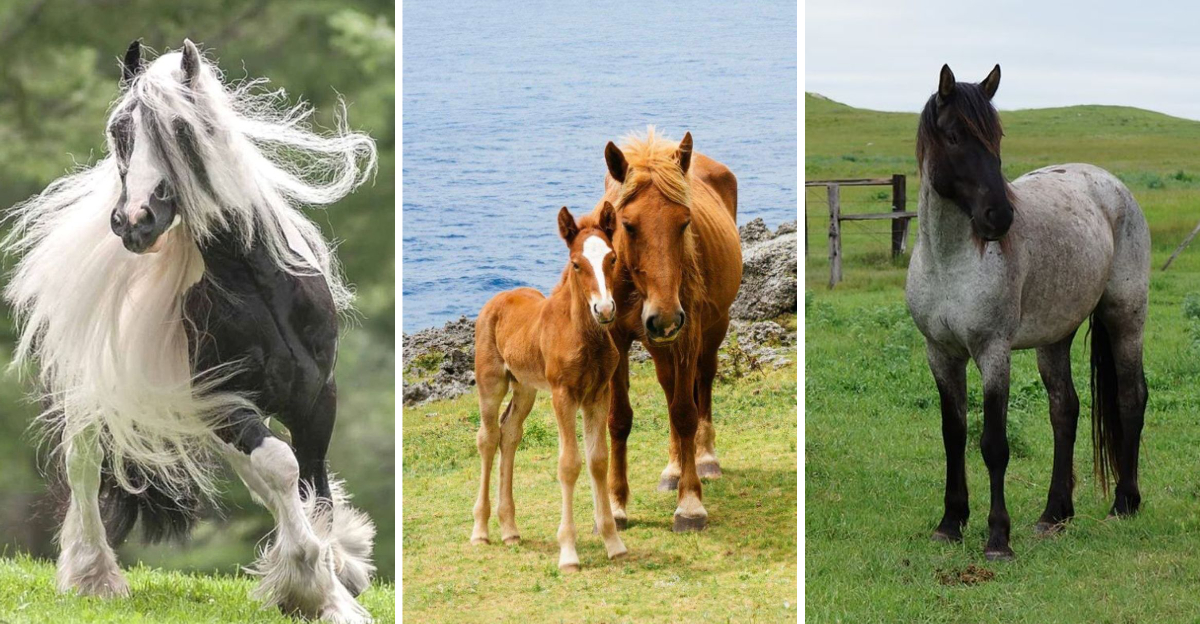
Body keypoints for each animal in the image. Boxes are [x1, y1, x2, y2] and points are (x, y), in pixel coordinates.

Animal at [3, 40, 379, 621]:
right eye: (120, 130)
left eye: (180, 130)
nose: (134, 221)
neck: (257, 288)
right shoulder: (222, 404)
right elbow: (281, 466)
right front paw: (311, 587)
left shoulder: (317, 398)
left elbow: (310, 483)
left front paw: (336, 577)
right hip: (94, 402)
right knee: (83, 465)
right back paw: (94, 576)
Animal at [470, 204, 628, 571]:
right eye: (576, 263)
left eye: (612, 258)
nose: (605, 309)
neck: (583, 335)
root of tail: (497, 299)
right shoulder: (563, 395)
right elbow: (569, 464)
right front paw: (568, 552)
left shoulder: (598, 394)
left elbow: (598, 460)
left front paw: (613, 542)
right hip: (491, 383)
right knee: (487, 438)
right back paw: (481, 530)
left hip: (525, 387)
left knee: (509, 434)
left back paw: (510, 529)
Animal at [594, 128, 742, 532]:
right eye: (628, 225)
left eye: (685, 222)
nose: (665, 317)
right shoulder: (617, 339)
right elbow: (619, 419)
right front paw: (615, 505)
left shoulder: (688, 334)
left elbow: (685, 412)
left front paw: (690, 505)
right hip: (659, 342)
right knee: (668, 384)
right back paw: (674, 467)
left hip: (711, 328)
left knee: (702, 384)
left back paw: (704, 459)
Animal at [905, 64, 1151, 560]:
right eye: (955, 137)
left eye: (996, 138)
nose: (999, 218)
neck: (949, 261)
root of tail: (1111, 185)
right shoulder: (941, 353)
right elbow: (953, 433)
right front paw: (950, 523)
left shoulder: (993, 352)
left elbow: (994, 444)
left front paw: (998, 538)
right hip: (1055, 337)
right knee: (1065, 410)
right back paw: (1055, 514)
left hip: (1125, 318)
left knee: (1131, 398)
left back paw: (1123, 503)